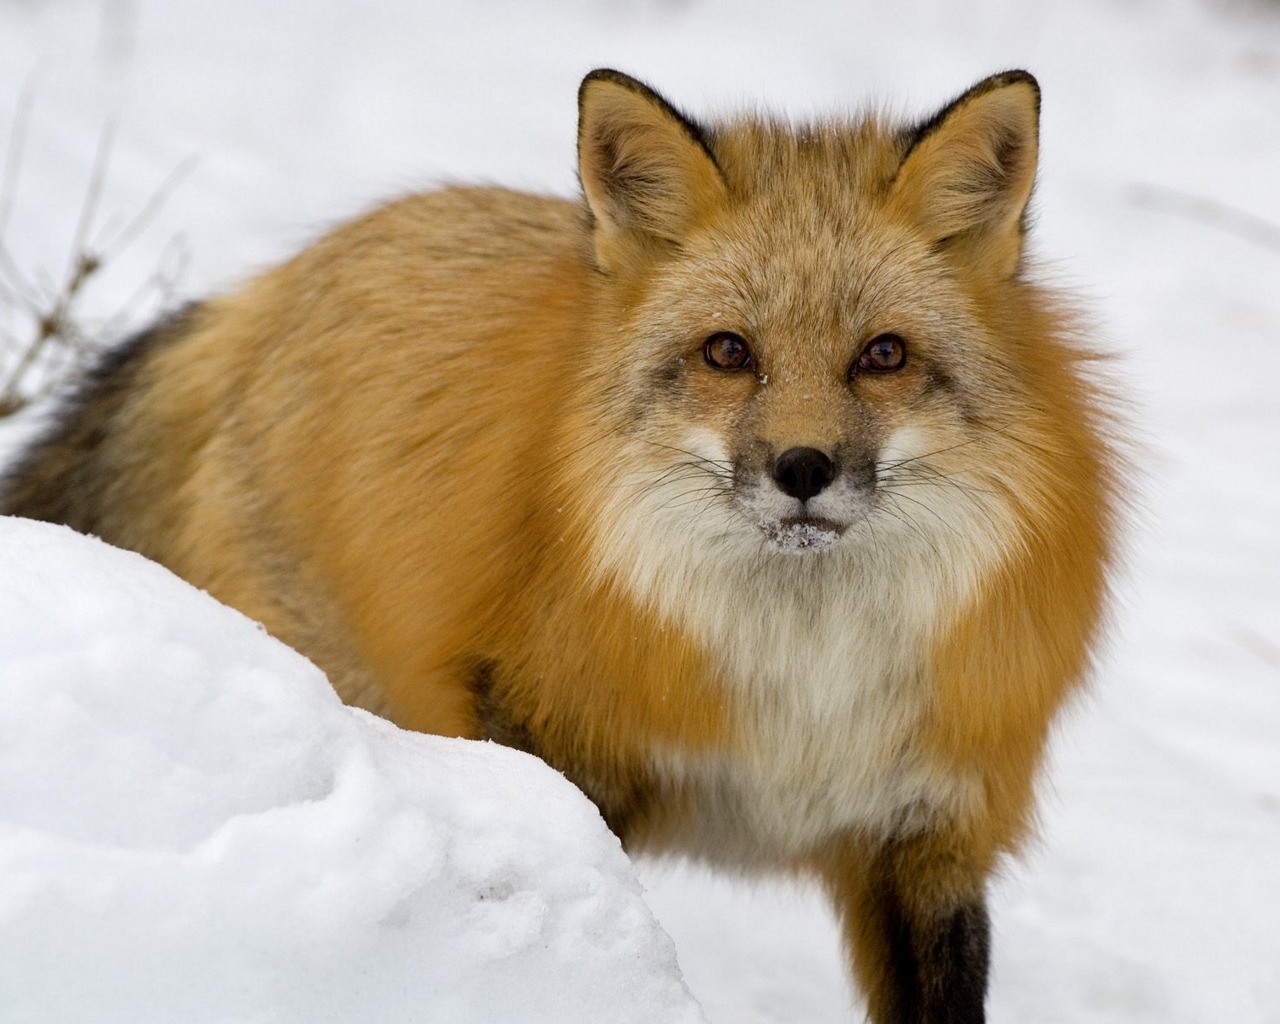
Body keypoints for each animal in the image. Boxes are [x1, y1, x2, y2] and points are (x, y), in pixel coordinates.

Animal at [1, 69, 1118, 1022]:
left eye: (882, 355)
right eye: (728, 353)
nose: (802, 467)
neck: (803, 685)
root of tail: (273, 285)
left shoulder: (926, 833)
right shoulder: (555, 743)